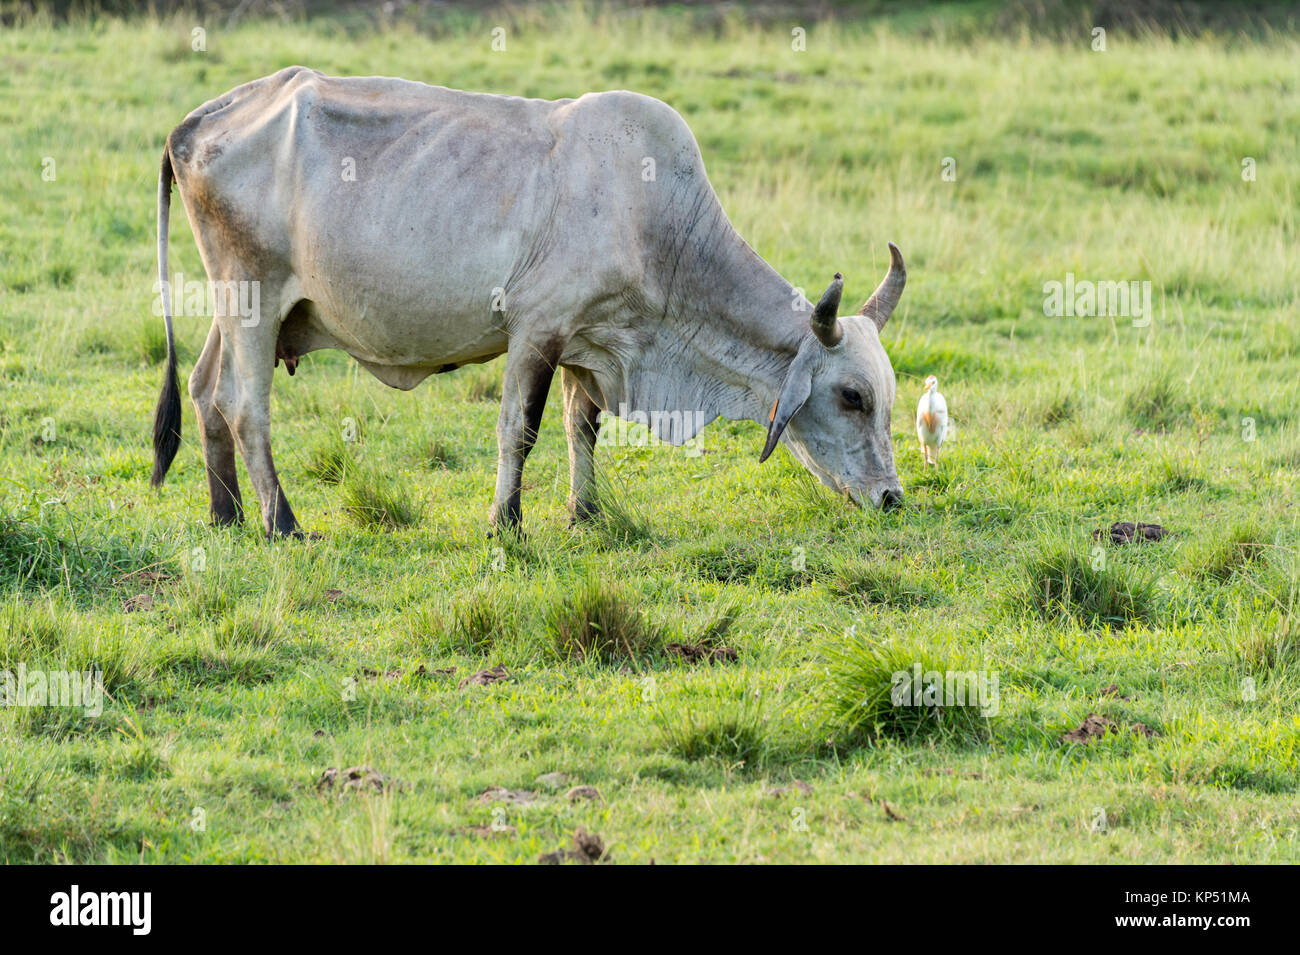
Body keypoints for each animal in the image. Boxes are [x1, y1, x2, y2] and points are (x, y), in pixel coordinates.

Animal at [150, 67, 907, 537]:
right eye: (852, 396)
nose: (893, 497)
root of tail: (196, 122)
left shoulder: (588, 342)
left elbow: (582, 427)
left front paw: (585, 513)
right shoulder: (536, 330)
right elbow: (521, 427)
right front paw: (506, 523)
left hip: (243, 306)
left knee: (204, 389)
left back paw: (226, 516)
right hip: (251, 298)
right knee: (244, 406)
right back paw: (282, 523)